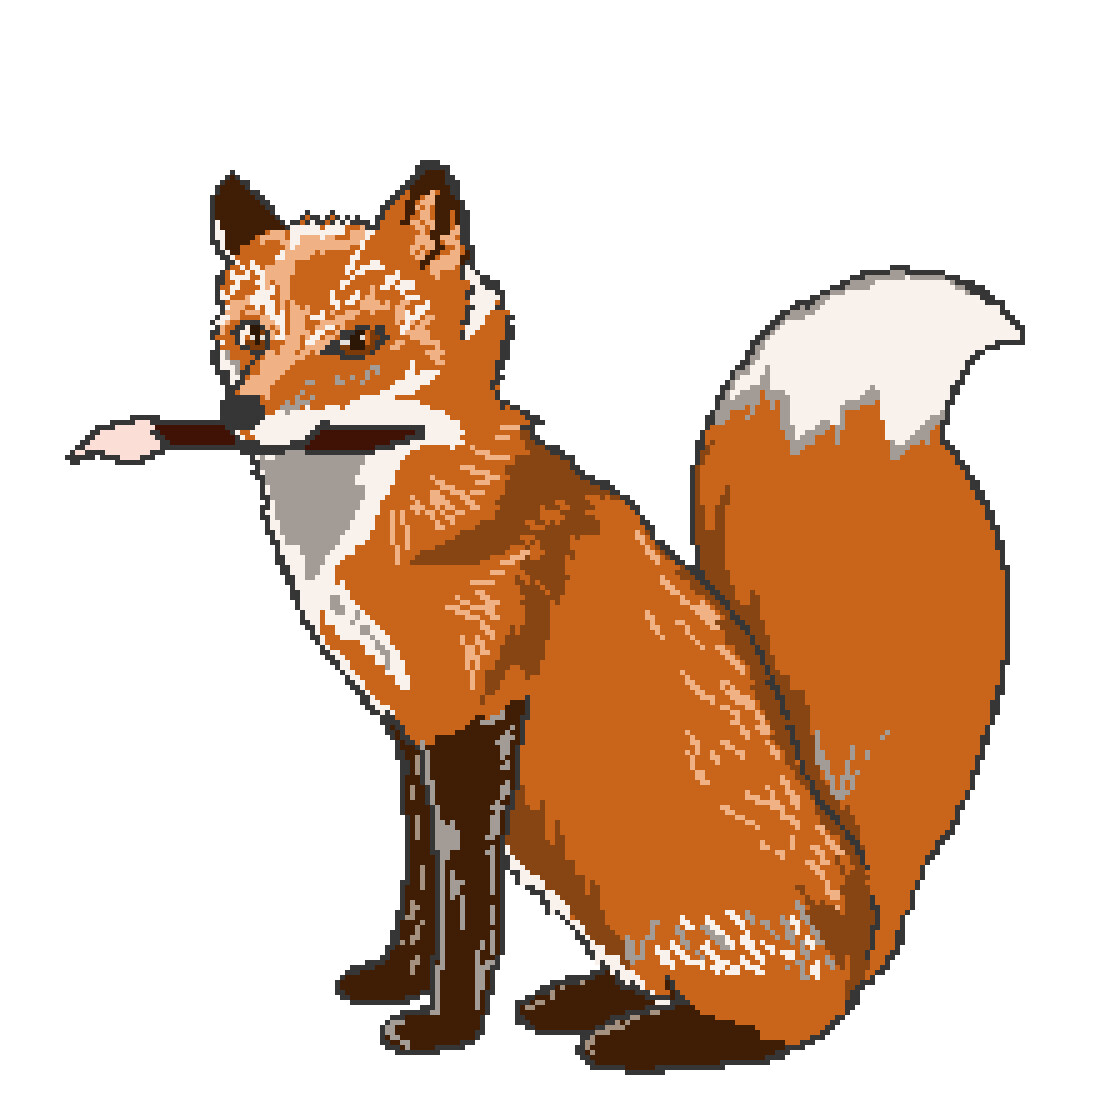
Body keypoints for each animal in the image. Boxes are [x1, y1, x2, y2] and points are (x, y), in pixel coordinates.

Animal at [70, 163, 1021, 1072]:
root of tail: (867, 906)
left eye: (357, 342)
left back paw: (648, 1044)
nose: (240, 416)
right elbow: (422, 884)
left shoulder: (475, 721)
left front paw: (447, 1028)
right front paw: (396, 979)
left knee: (789, 1026)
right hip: (603, 901)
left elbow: (466, 906)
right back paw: (585, 1003)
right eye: (251, 336)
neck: (387, 507)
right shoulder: (413, 728)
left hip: (671, 905)